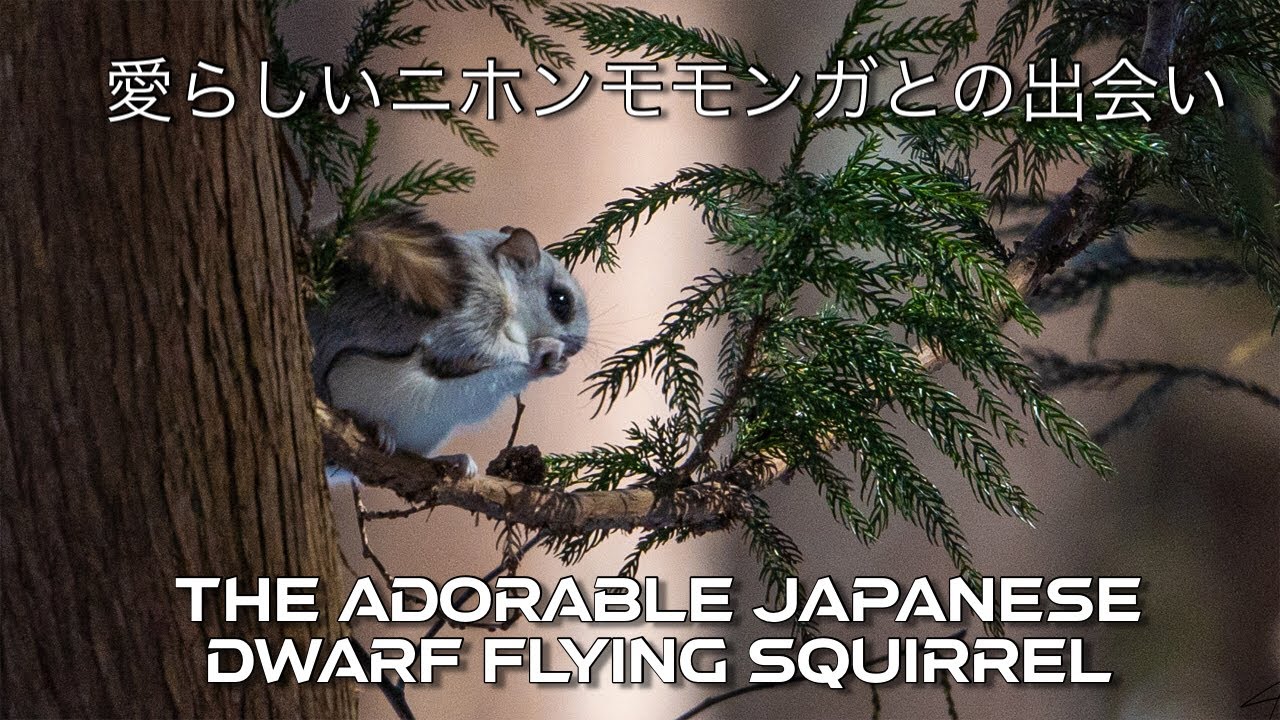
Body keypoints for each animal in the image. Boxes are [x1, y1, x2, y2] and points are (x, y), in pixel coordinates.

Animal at [307, 205, 589, 477]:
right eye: (560, 301)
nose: (579, 346)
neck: (502, 285)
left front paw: (554, 363)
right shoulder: (470, 313)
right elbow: (471, 353)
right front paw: (543, 350)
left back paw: (452, 460)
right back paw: (375, 426)